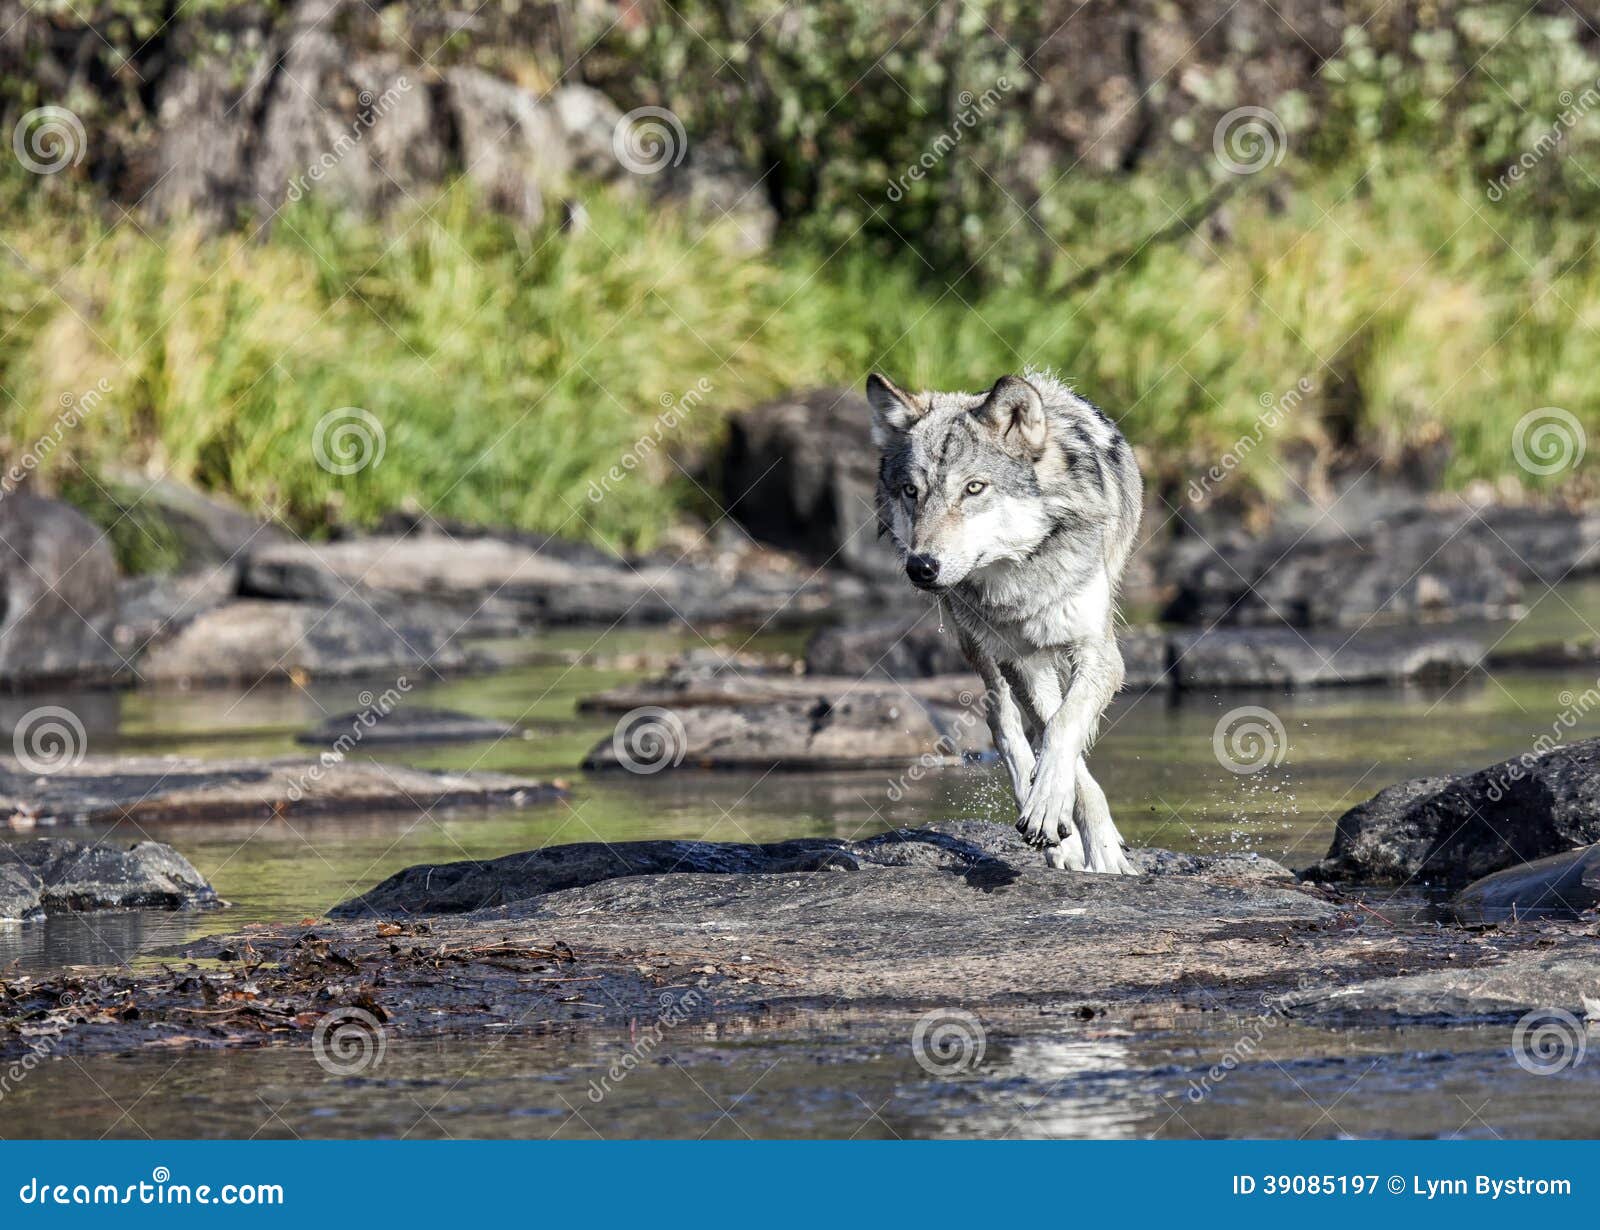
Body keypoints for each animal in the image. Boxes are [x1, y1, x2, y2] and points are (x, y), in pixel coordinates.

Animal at [867, 369, 1141, 874]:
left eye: (974, 488)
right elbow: (1055, 738)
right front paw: (1067, 830)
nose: (922, 567)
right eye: (912, 491)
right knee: (1002, 720)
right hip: (979, 645)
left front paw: (1087, 838)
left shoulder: (1099, 653)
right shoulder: (1022, 659)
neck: (1018, 576)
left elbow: (1063, 727)